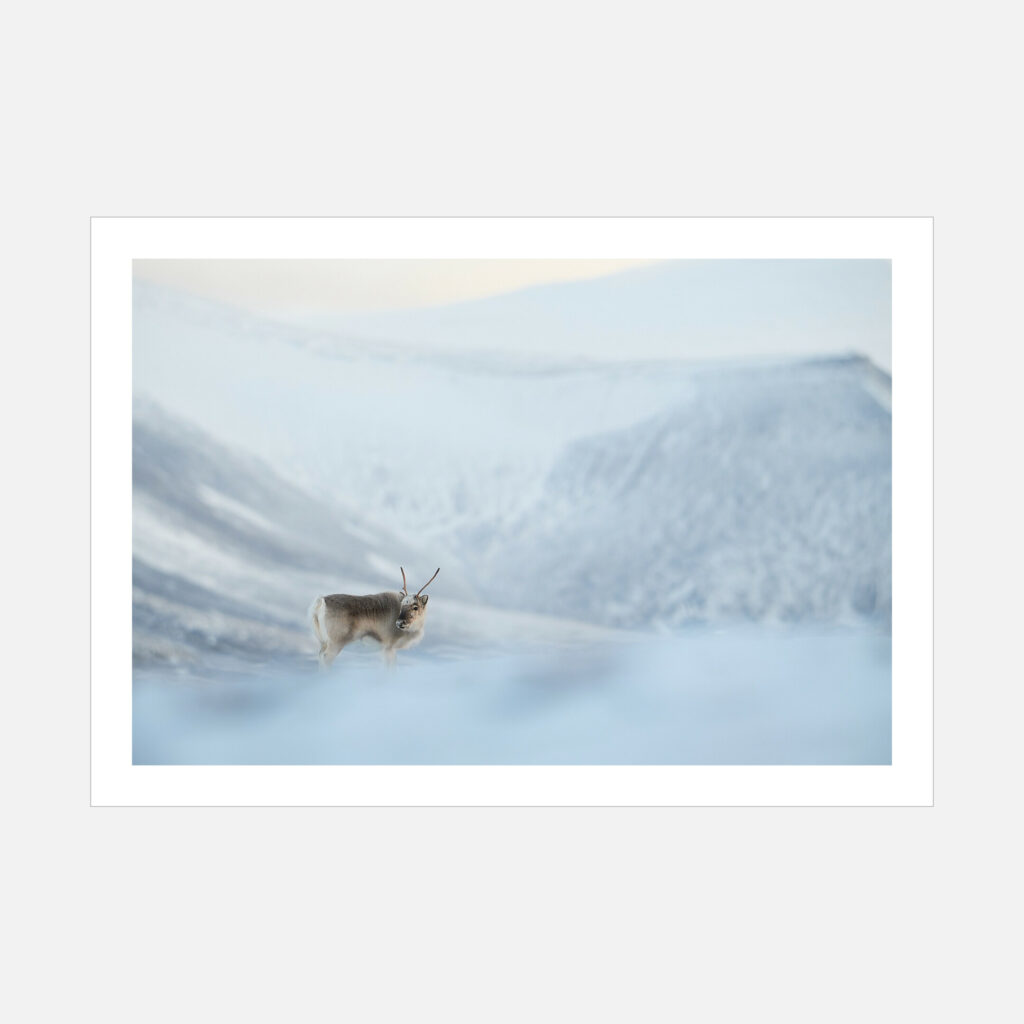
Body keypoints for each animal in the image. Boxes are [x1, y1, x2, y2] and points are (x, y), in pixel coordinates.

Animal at [309, 567, 440, 668]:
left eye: (415, 607)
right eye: (402, 605)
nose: (399, 623)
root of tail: (321, 602)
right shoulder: (388, 647)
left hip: (323, 642)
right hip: (336, 643)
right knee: (326, 658)